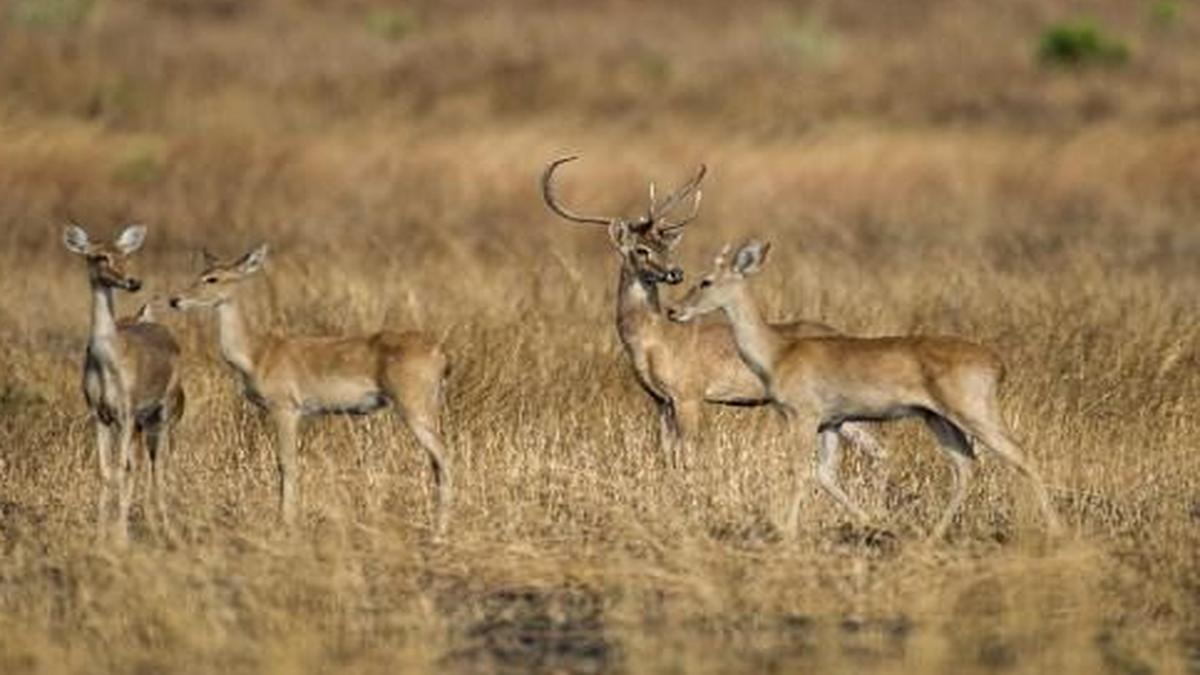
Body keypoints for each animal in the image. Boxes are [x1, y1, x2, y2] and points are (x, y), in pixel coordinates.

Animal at [64, 224, 185, 545]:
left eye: (126, 255)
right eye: (100, 256)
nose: (134, 281)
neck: (108, 362)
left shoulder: (127, 410)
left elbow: (121, 469)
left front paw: (119, 538)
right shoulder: (99, 413)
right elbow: (107, 471)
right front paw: (100, 535)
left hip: (164, 412)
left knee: (159, 466)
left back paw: (167, 529)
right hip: (142, 423)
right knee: (141, 465)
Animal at [167, 245, 452, 535]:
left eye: (212, 278)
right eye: (200, 273)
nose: (175, 300)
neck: (258, 353)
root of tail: (440, 354)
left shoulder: (285, 410)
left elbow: (286, 464)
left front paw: (286, 522)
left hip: (415, 410)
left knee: (443, 458)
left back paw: (439, 531)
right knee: (436, 462)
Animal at [542, 156, 884, 469]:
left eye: (666, 247)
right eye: (641, 249)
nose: (675, 272)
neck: (655, 341)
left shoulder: (688, 394)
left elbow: (690, 456)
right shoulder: (661, 401)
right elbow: (666, 455)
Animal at [666, 240, 1062, 539]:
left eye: (705, 281)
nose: (674, 311)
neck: (777, 353)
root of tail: (997, 364)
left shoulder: (804, 415)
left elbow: (799, 470)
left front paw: (786, 530)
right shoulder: (831, 422)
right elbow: (825, 474)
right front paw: (874, 522)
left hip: (973, 410)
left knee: (1020, 455)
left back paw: (1056, 529)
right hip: (938, 418)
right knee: (965, 465)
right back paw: (934, 534)